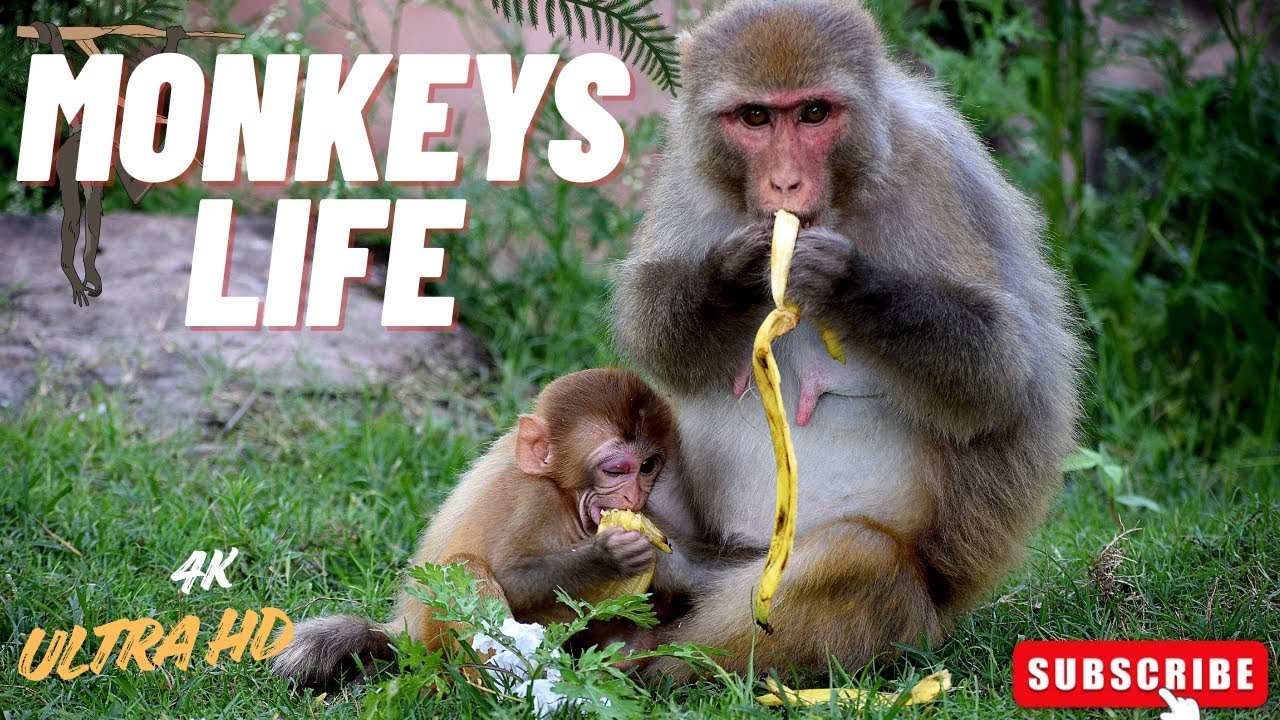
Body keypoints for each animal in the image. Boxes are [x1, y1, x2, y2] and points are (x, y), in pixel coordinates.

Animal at [272, 368, 680, 688]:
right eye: (615, 470)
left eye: (647, 466)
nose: (633, 495)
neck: (566, 499)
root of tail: (407, 632)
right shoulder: (532, 500)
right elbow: (511, 578)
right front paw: (610, 555)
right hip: (436, 635)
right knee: (464, 567)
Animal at [610, 0, 1082, 683]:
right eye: (755, 117)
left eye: (814, 113)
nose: (784, 185)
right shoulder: (690, 169)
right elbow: (650, 325)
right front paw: (735, 273)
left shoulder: (934, 169)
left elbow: (1003, 369)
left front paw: (843, 280)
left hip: (895, 618)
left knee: (855, 559)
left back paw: (654, 662)